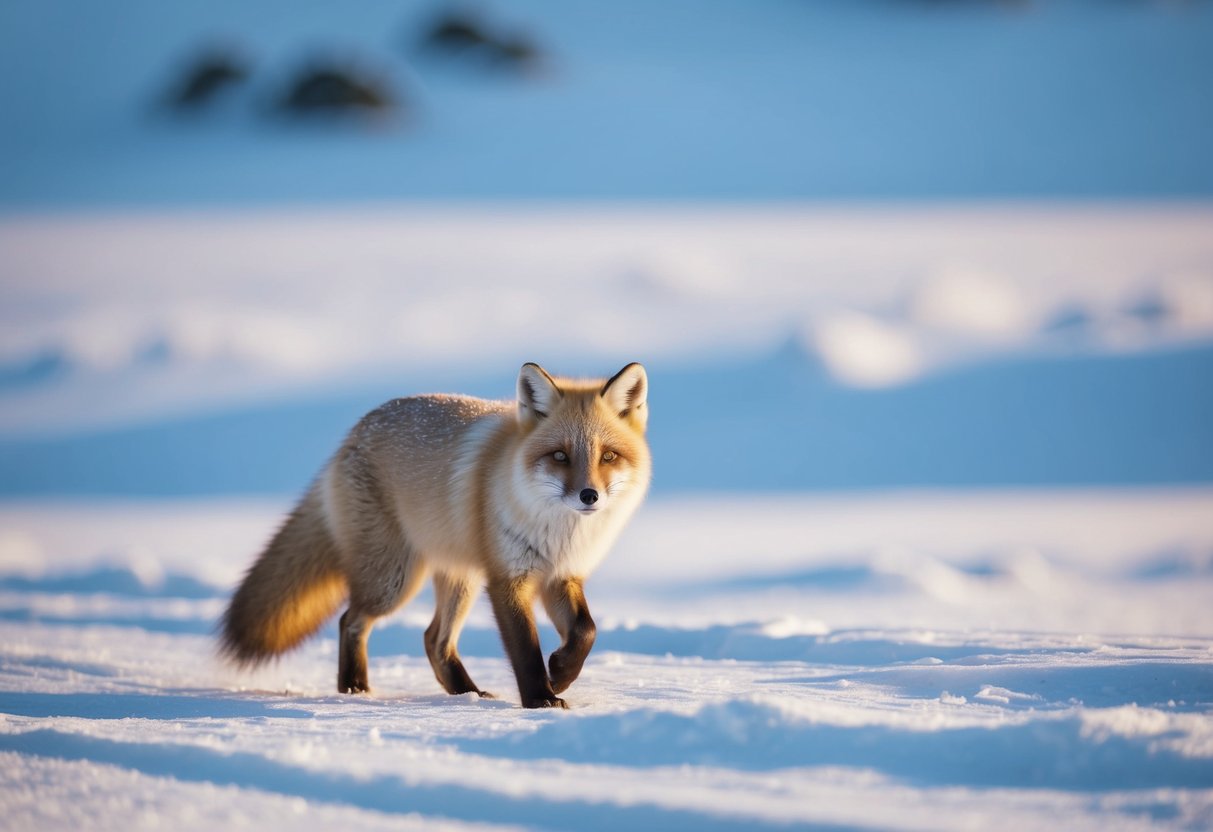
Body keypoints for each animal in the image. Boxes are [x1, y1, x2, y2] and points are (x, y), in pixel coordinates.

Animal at [220, 362, 651, 708]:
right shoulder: (507, 579)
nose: (589, 496)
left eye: (608, 456)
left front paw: (560, 673)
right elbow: (526, 650)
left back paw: (466, 693)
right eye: (560, 455)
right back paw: (356, 690)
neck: (559, 532)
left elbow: (585, 630)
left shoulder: (560, 576)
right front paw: (540, 699)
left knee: (434, 640)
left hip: (460, 578)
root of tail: (354, 433)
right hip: (394, 581)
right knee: (351, 620)